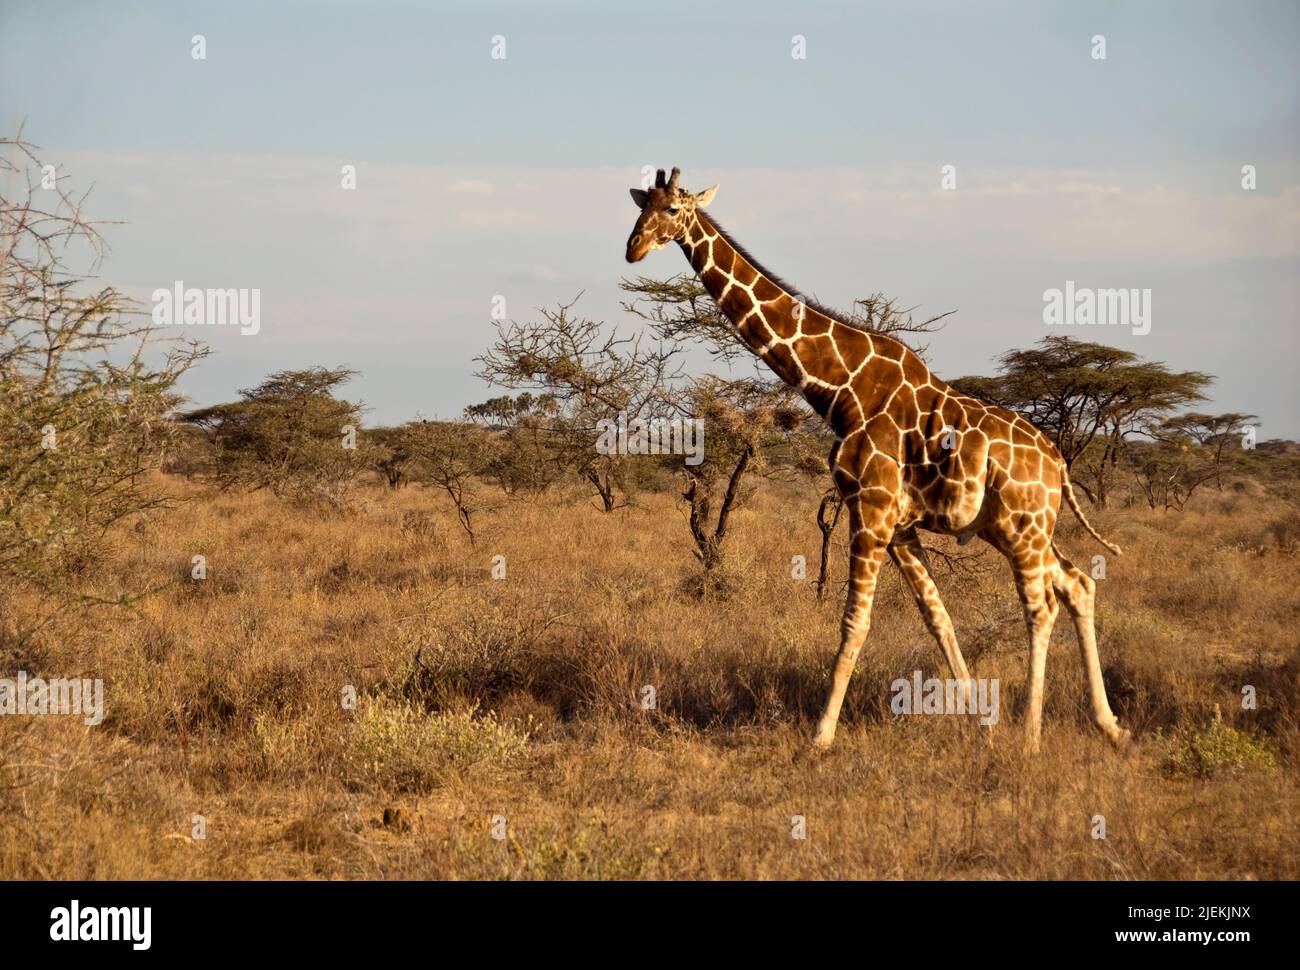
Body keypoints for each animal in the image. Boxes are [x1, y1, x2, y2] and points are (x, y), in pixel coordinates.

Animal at [625, 167, 1130, 753]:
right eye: (640, 207)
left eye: (673, 210)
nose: (633, 249)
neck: (838, 388)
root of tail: (1061, 465)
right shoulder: (899, 522)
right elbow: (938, 617)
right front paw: (979, 721)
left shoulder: (871, 508)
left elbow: (855, 624)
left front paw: (820, 736)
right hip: (1012, 526)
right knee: (1078, 583)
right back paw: (1109, 724)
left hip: (1022, 527)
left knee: (1041, 605)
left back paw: (1031, 737)